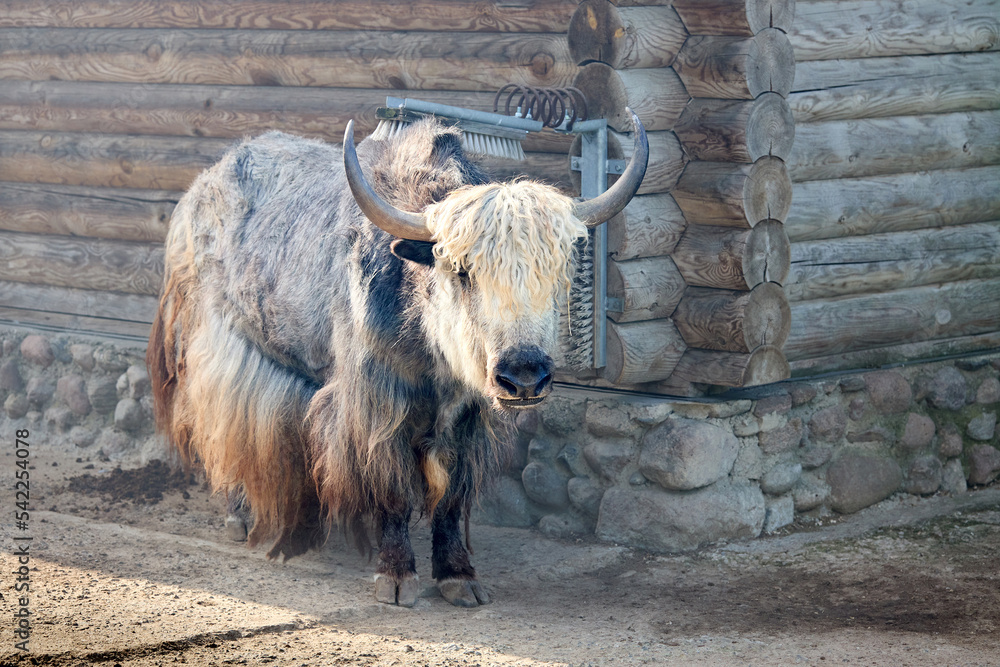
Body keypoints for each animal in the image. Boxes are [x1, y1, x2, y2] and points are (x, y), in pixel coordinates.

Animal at [147, 111, 647, 607]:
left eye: (555, 272)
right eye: (461, 270)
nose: (524, 377)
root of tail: (198, 190)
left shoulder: (467, 415)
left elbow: (452, 495)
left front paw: (458, 576)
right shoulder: (377, 404)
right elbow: (390, 486)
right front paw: (397, 576)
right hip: (216, 344)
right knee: (217, 421)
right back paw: (239, 516)